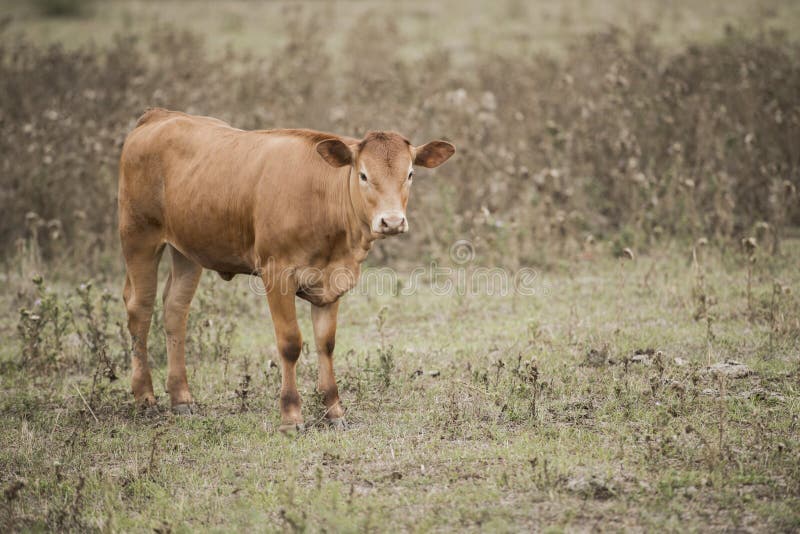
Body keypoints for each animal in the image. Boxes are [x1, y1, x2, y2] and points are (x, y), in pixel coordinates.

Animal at [118, 109, 455, 432]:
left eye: (410, 174)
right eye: (363, 175)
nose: (392, 221)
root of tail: (159, 116)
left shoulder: (333, 279)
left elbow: (326, 343)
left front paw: (334, 412)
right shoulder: (276, 274)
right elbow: (291, 344)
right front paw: (291, 416)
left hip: (187, 250)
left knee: (175, 309)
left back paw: (181, 398)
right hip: (138, 236)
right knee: (140, 310)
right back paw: (146, 398)